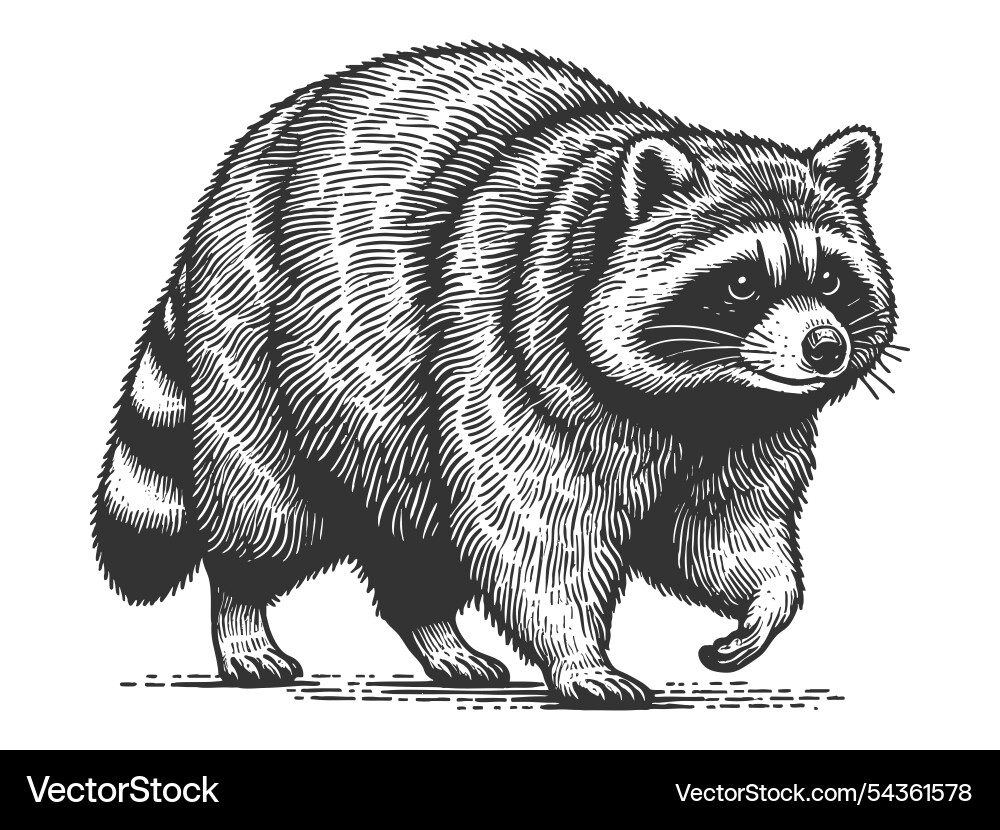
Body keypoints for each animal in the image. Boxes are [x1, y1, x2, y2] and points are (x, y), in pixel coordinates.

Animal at [93, 45, 896, 707]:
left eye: (830, 278)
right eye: (742, 284)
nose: (826, 347)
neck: (703, 397)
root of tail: (252, 151)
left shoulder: (749, 429)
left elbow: (724, 529)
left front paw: (766, 603)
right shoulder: (511, 353)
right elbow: (537, 535)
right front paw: (578, 656)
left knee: (412, 532)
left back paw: (436, 635)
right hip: (258, 330)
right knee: (264, 501)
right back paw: (243, 612)